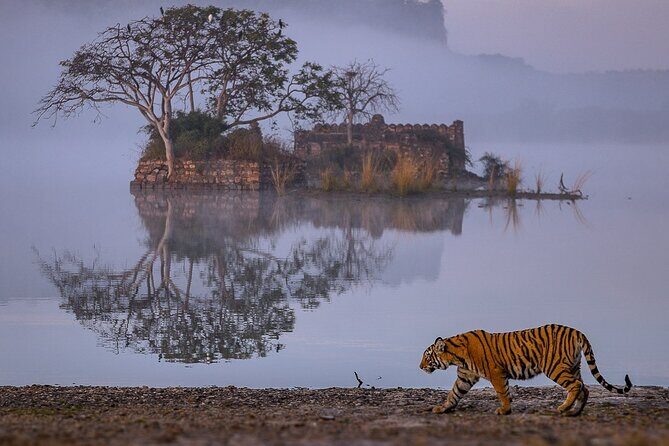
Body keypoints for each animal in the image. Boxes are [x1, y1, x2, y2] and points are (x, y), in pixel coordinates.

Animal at [419, 324, 632, 416]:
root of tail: (577, 331)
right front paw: (442, 408)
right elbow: (454, 393)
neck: (456, 356)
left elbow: (502, 392)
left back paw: (563, 408)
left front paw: (504, 410)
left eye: (427, 356)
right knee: (584, 388)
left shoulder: (496, 373)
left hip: (554, 367)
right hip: (573, 366)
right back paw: (574, 411)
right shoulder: (465, 376)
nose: (420, 366)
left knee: (575, 386)